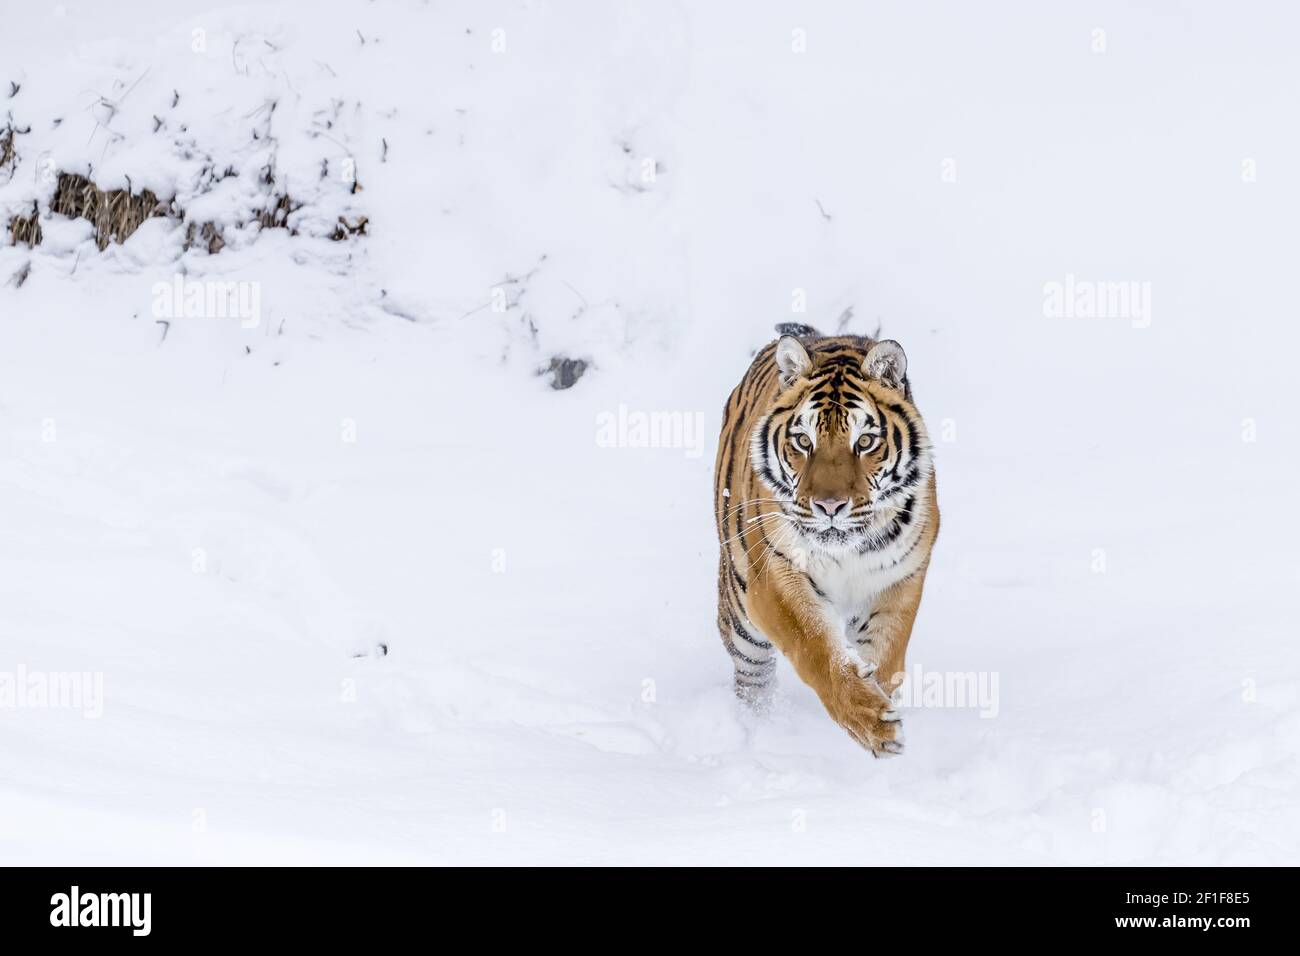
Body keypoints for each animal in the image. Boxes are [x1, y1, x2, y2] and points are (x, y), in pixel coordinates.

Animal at [713, 323, 939, 756]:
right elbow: (817, 649)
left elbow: (886, 656)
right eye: (804, 441)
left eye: (865, 442)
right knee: (753, 679)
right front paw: (875, 724)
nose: (829, 506)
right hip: (739, 610)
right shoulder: (775, 575)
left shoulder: (899, 578)